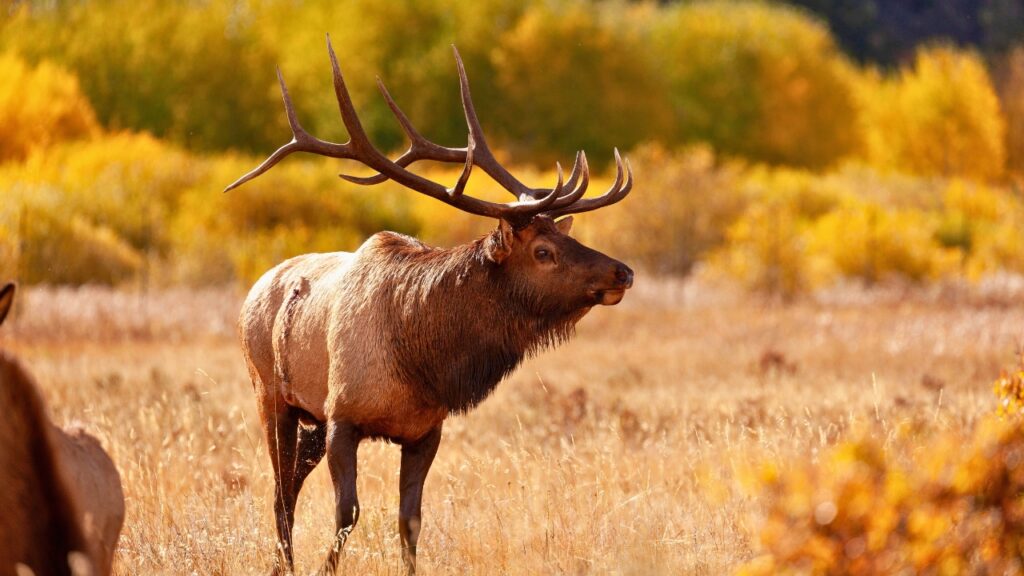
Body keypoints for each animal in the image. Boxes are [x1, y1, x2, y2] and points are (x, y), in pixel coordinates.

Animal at [225, 37, 634, 575]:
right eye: (543, 251)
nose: (622, 272)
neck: (420, 359)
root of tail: (257, 286)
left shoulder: (425, 430)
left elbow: (410, 521)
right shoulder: (342, 417)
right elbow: (347, 512)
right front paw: (324, 567)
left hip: (308, 418)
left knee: (289, 485)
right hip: (271, 395)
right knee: (280, 491)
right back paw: (283, 563)